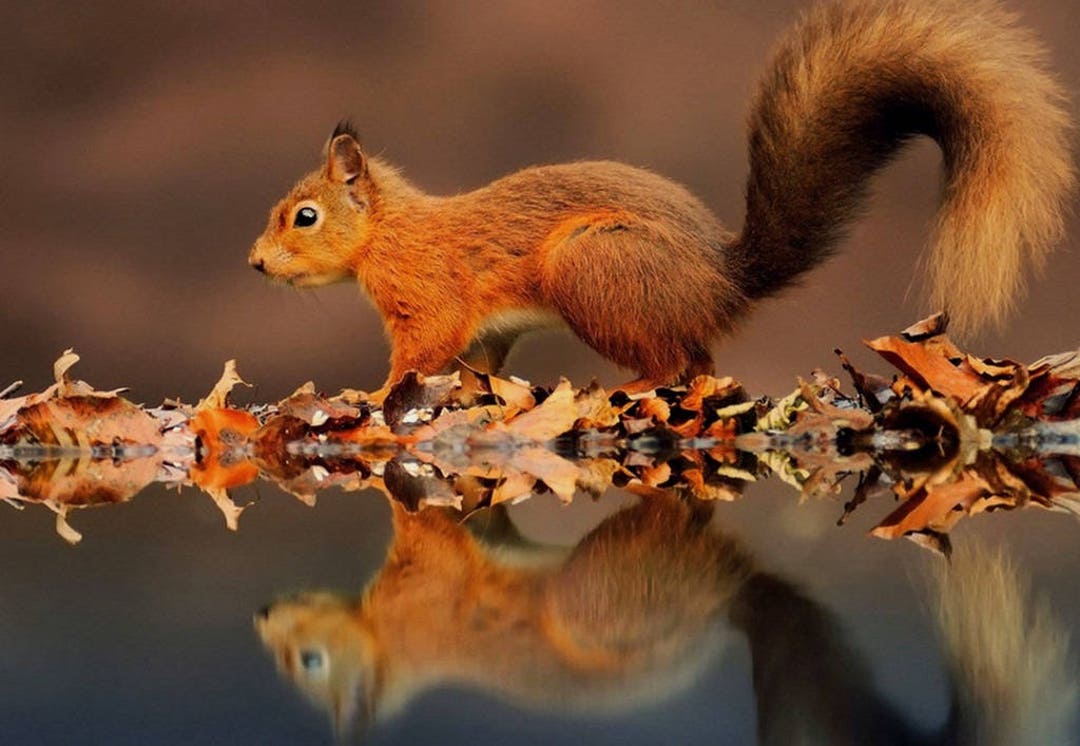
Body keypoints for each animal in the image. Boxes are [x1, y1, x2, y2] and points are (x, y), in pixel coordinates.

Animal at [250, 0, 1074, 400]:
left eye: (305, 216)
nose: (255, 264)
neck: (389, 233)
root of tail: (721, 281)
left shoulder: (430, 296)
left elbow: (421, 352)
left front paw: (374, 393)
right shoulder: (484, 329)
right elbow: (476, 358)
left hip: (594, 270)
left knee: (672, 361)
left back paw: (628, 383)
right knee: (699, 360)